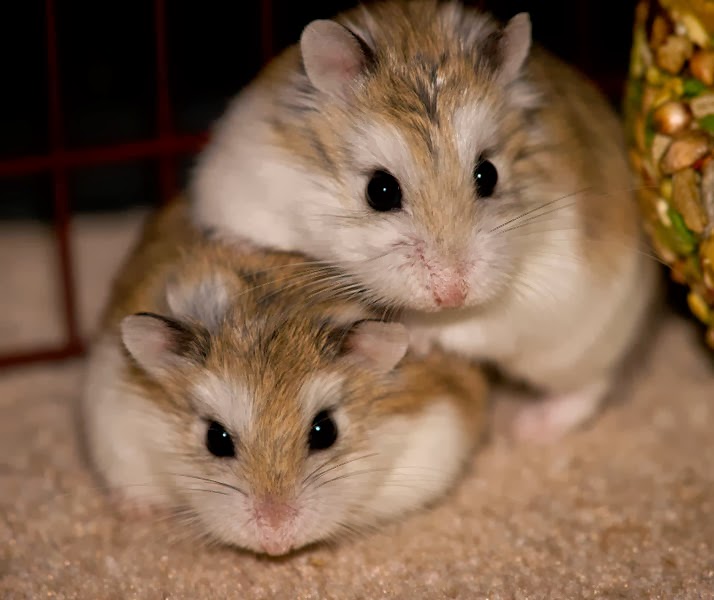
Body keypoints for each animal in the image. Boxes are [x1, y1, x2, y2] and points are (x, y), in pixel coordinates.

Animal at [189, 0, 658, 442]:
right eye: (380, 190)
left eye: (489, 174)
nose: (452, 294)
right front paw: (236, 244)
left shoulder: (537, 291)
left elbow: (475, 325)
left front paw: (413, 333)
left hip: (579, 344)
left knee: (588, 387)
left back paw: (526, 429)